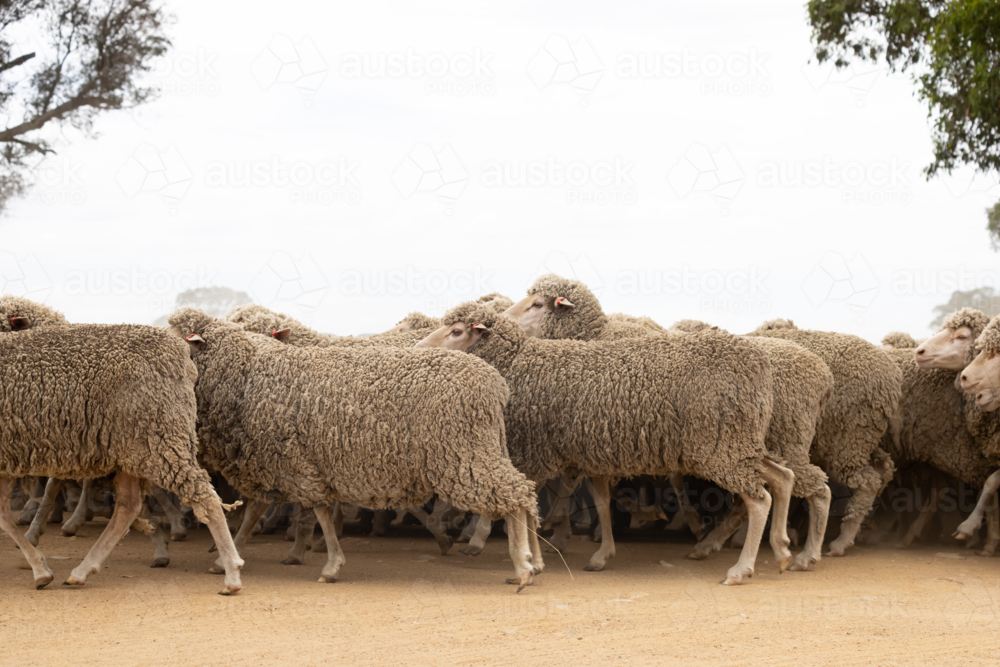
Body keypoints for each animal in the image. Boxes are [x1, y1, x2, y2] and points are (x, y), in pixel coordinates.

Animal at [0, 322, 244, 593]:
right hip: (133, 448)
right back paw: (83, 571)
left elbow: (4, 518)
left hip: (161, 437)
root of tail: (179, 350)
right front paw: (40, 568)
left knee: (205, 497)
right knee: (129, 506)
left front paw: (40, 569)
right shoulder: (6, 461)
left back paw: (231, 574)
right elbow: (3, 517)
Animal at [167, 307, 540, 589]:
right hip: (482, 451)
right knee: (525, 492)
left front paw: (330, 563)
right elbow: (264, 511)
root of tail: (496, 384)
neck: (246, 379)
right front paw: (229, 556)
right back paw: (533, 561)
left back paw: (521, 566)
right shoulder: (284, 462)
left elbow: (312, 512)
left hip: (465, 456)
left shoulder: (292, 463)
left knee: (517, 496)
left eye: (178, 336)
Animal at [415, 301, 793, 584]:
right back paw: (782, 550)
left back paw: (740, 569)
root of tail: (759, 362)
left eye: (457, 331)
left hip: (722, 447)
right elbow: (598, 502)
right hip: (738, 445)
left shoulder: (535, 452)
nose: (418, 347)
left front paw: (532, 561)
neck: (519, 362)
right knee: (783, 478)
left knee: (760, 499)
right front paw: (597, 555)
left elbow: (531, 506)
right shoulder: (589, 452)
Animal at [506, 277, 832, 571]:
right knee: (782, 480)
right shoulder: (599, 443)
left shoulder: (596, 442)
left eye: (537, 304)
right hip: (739, 444)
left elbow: (593, 492)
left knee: (793, 491)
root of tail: (823, 375)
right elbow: (600, 495)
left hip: (753, 443)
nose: (505, 318)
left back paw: (787, 556)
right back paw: (766, 547)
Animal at [749, 320, 903, 556]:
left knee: (867, 482)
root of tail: (893, 376)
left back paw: (839, 542)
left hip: (847, 438)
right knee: (884, 469)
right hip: (862, 437)